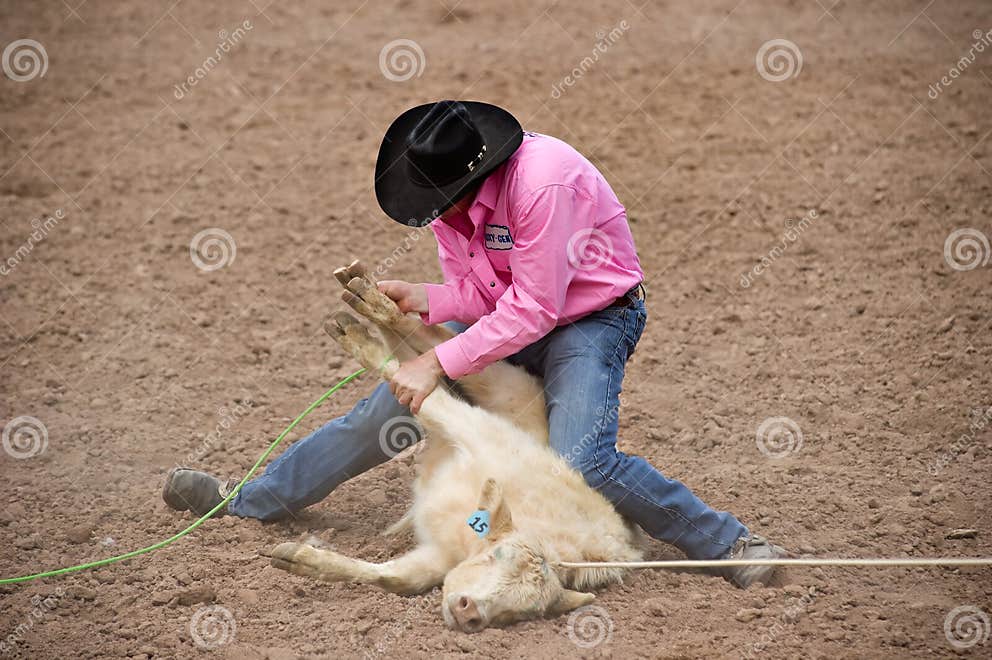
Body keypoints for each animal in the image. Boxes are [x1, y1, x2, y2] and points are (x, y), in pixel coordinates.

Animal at [270, 261, 643, 632]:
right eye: (497, 555)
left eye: (524, 611)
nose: (469, 611)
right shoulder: (473, 429)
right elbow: (430, 398)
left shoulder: (439, 557)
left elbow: (395, 579)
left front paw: (300, 559)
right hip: (495, 384)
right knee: (434, 347)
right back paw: (367, 309)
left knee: (426, 355)